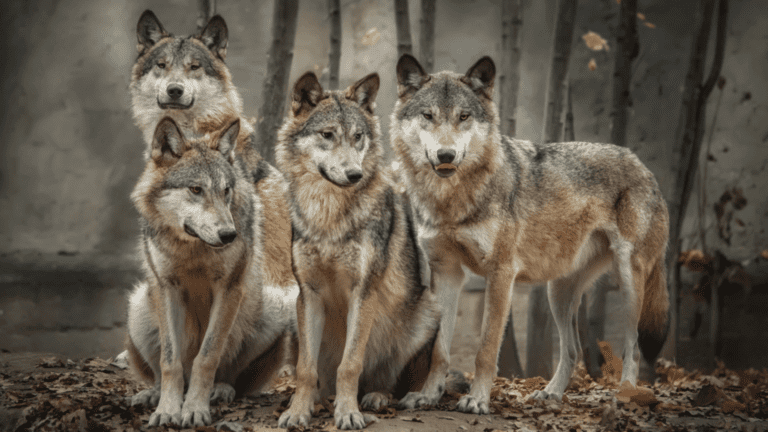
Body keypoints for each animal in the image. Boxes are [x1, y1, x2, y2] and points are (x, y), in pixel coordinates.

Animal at [126, 118, 297, 428]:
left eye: (226, 190)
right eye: (196, 189)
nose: (229, 234)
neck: (193, 248)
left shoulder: (229, 288)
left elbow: (207, 357)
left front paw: (194, 408)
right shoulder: (165, 287)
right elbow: (170, 361)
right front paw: (168, 410)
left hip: (275, 307)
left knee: (230, 376)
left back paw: (220, 390)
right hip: (139, 305)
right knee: (163, 371)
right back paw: (153, 394)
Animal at [275, 72, 442, 430]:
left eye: (358, 137)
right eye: (327, 135)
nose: (355, 174)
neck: (329, 217)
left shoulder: (363, 292)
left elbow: (350, 364)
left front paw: (348, 413)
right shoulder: (308, 293)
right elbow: (305, 370)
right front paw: (298, 411)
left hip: (427, 313)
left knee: (387, 379)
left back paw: (375, 397)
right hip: (292, 317)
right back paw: (322, 399)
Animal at [390, 54, 670, 413]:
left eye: (464, 116)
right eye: (428, 116)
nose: (446, 155)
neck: (452, 200)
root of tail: (643, 165)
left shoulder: (501, 273)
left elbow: (485, 349)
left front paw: (477, 400)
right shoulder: (447, 273)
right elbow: (439, 349)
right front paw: (427, 396)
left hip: (629, 281)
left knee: (631, 346)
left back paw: (625, 395)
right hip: (558, 292)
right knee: (572, 350)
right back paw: (551, 394)